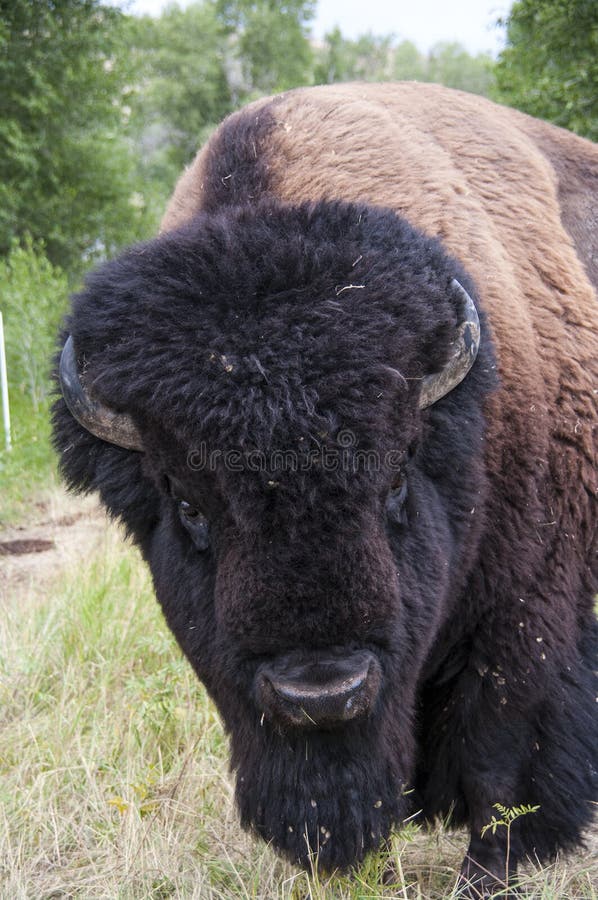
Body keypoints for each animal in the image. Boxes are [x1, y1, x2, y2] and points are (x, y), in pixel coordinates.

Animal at [53, 84, 597, 895]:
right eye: (188, 506)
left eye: (397, 476)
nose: (322, 694)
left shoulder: (528, 609)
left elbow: (501, 759)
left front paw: (491, 871)